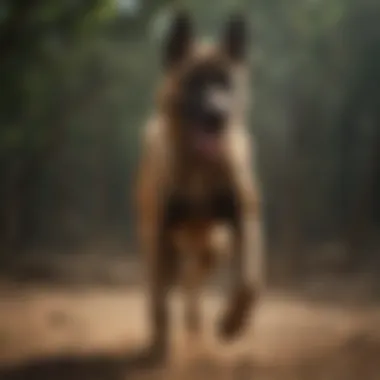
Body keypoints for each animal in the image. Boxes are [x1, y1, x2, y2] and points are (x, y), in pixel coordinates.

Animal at [136, 9, 264, 366]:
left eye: (225, 83)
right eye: (195, 82)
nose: (216, 116)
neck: (200, 169)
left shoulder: (244, 217)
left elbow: (249, 282)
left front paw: (231, 325)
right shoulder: (161, 233)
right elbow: (160, 302)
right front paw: (160, 350)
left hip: (213, 247)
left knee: (192, 287)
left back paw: (196, 327)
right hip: (158, 244)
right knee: (162, 290)